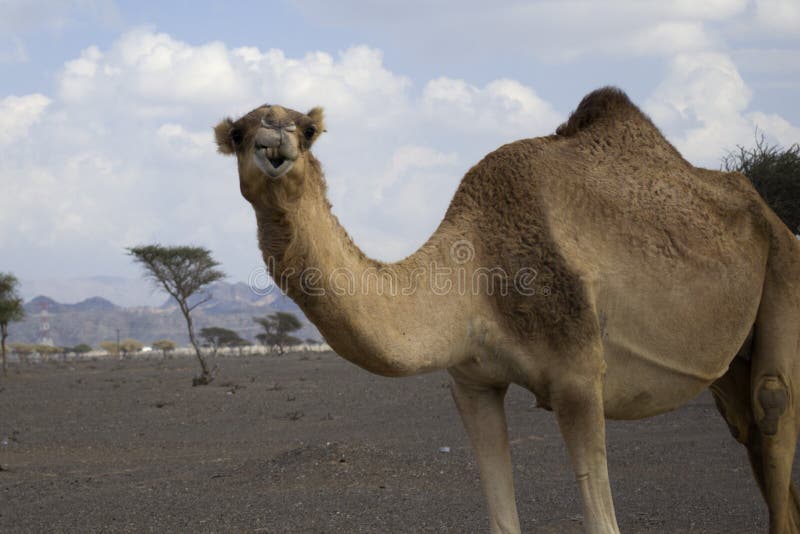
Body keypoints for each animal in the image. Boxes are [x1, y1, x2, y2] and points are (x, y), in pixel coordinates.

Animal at [215, 87, 800, 534]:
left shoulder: (578, 376)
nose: (274, 135)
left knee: (772, 401)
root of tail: (768, 211)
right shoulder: (472, 381)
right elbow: (500, 514)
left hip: (783, 265)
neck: (475, 273)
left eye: (307, 129)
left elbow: (602, 521)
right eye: (239, 132)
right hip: (728, 362)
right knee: (748, 430)